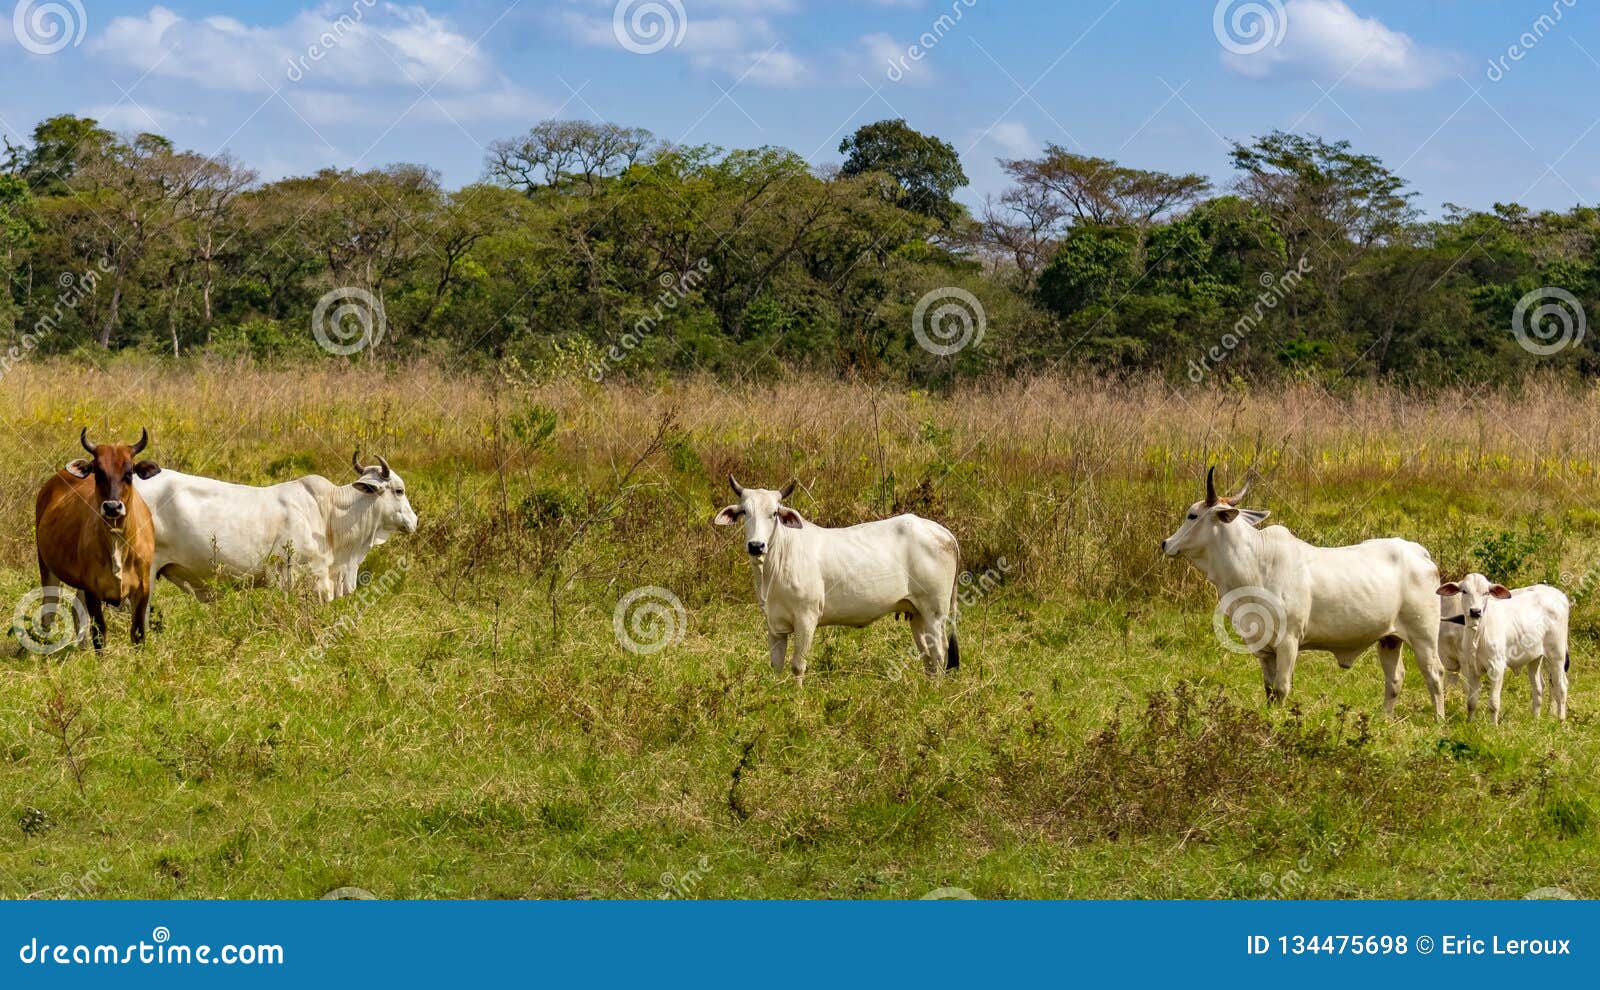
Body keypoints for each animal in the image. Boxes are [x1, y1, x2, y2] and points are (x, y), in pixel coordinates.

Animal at [34, 428, 162, 649]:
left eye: (129, 473)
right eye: (99, 472)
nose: (112, 507)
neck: (117, 540)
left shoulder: (142, 588)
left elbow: (138, 633)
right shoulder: (93, 589)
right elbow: (99, 632)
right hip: (46, 565)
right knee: (50, 607)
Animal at [713, 477, 960, 684]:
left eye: (774, 513)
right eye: (745, 512)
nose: (756, 546)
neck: (772, 571)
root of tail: (943, 532)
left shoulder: (807, 618)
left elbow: (797, 665)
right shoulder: (774, 624)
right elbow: (776, 666)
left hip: (934, 612)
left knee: (939, 653)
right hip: (916, 613)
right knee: (928, 656)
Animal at [1161, 467, 1447, 718]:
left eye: (1192, 515)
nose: (1166, 543)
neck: (1254, 563)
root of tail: (1419, 552)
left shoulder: (1288, 641)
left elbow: (1281, 688)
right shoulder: (1264, 648)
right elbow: (1268, 690)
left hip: (1423, 636)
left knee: (1435, 674)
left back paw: (1439, 720)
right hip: (1389, 639)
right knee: (1395, 677)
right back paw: (1384, 719)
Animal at [1436, 574, 1569, 723]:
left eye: (1486, 593)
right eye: (1464, 591)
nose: (1475, 611)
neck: (1477, 634)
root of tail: (1559, 595)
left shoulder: (1496, 667)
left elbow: (1493, 703)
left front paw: (1493, 726)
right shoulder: (1471, 667)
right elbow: (1471, 702)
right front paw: (1469, 723)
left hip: (1556, 656)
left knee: (1561, 686)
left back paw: (1561, 720)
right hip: (1535, 658)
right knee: (1539, 688)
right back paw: (1535, 719)